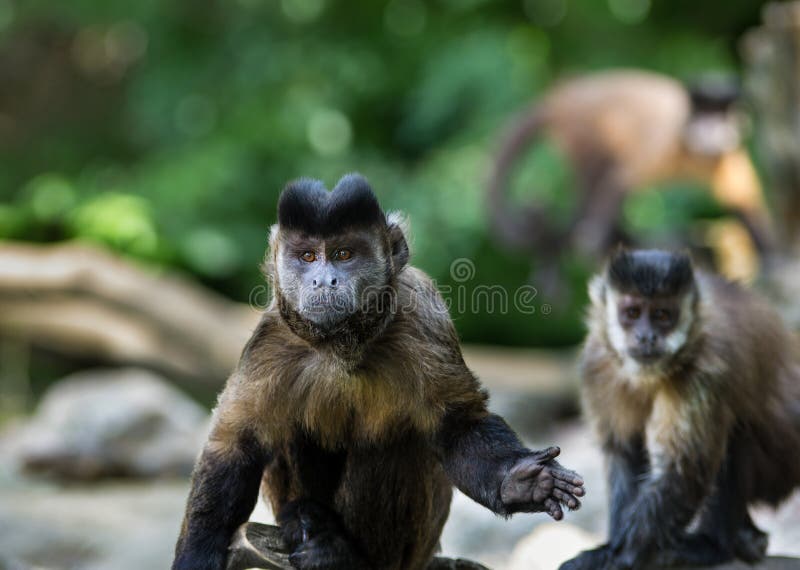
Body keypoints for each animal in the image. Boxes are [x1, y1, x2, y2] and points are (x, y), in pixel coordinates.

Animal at [171, 173, 585, 570]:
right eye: (307, 256)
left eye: (343, 254)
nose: (323, 280)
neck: (341, 347)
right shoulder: (270, 340)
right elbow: (236, 444)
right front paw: (196, 554)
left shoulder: (424, 320)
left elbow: (458, 426)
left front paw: (521, 482)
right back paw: (304, 520)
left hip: (412, 551)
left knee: (390, 443)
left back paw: (346, 555)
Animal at [487, 70, 775, 290]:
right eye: (705, 116)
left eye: (723, 117)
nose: (713, 131)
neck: (696, 155)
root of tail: (564, 97)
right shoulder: (666, 143)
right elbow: (620, 180)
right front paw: (594, 238)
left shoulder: (728, 155)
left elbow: (743, 202)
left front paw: (770, 256)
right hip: (582, 129)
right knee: (595, 173)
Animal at [559, 248, 800, 570]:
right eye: (632, 313)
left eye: (662, 315)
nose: (646, 337)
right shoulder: (597, 365)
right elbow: (624, 453)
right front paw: (610, 548)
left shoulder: (705, 370)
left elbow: (683, 469)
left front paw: (617, 556)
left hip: (783, 463)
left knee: (736, 437)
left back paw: (714, 546)